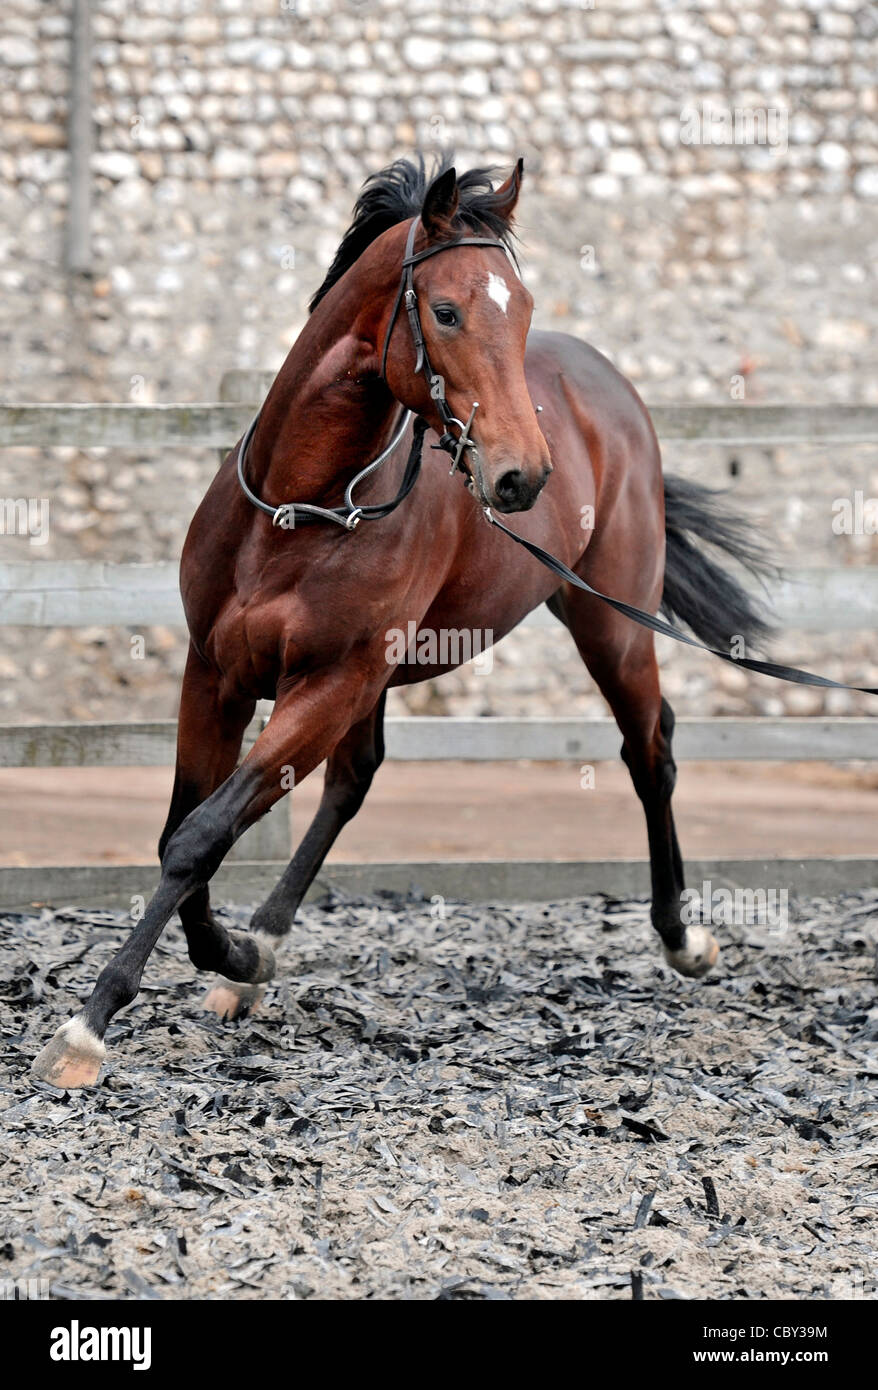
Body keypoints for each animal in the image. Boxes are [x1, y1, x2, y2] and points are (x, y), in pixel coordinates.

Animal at [32, 156, 768, 1088]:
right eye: (446, 311)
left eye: (523, 308)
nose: (522, 477)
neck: (295, 514)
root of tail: (613, 393)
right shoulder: (217, 676)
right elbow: (185, 831)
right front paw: (234, 956)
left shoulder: (327, 683)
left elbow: (202, 834)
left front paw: (88, 1026)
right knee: (356, 779)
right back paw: (261, 948)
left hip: (611, 627)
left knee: (650, 752)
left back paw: (682, 939)